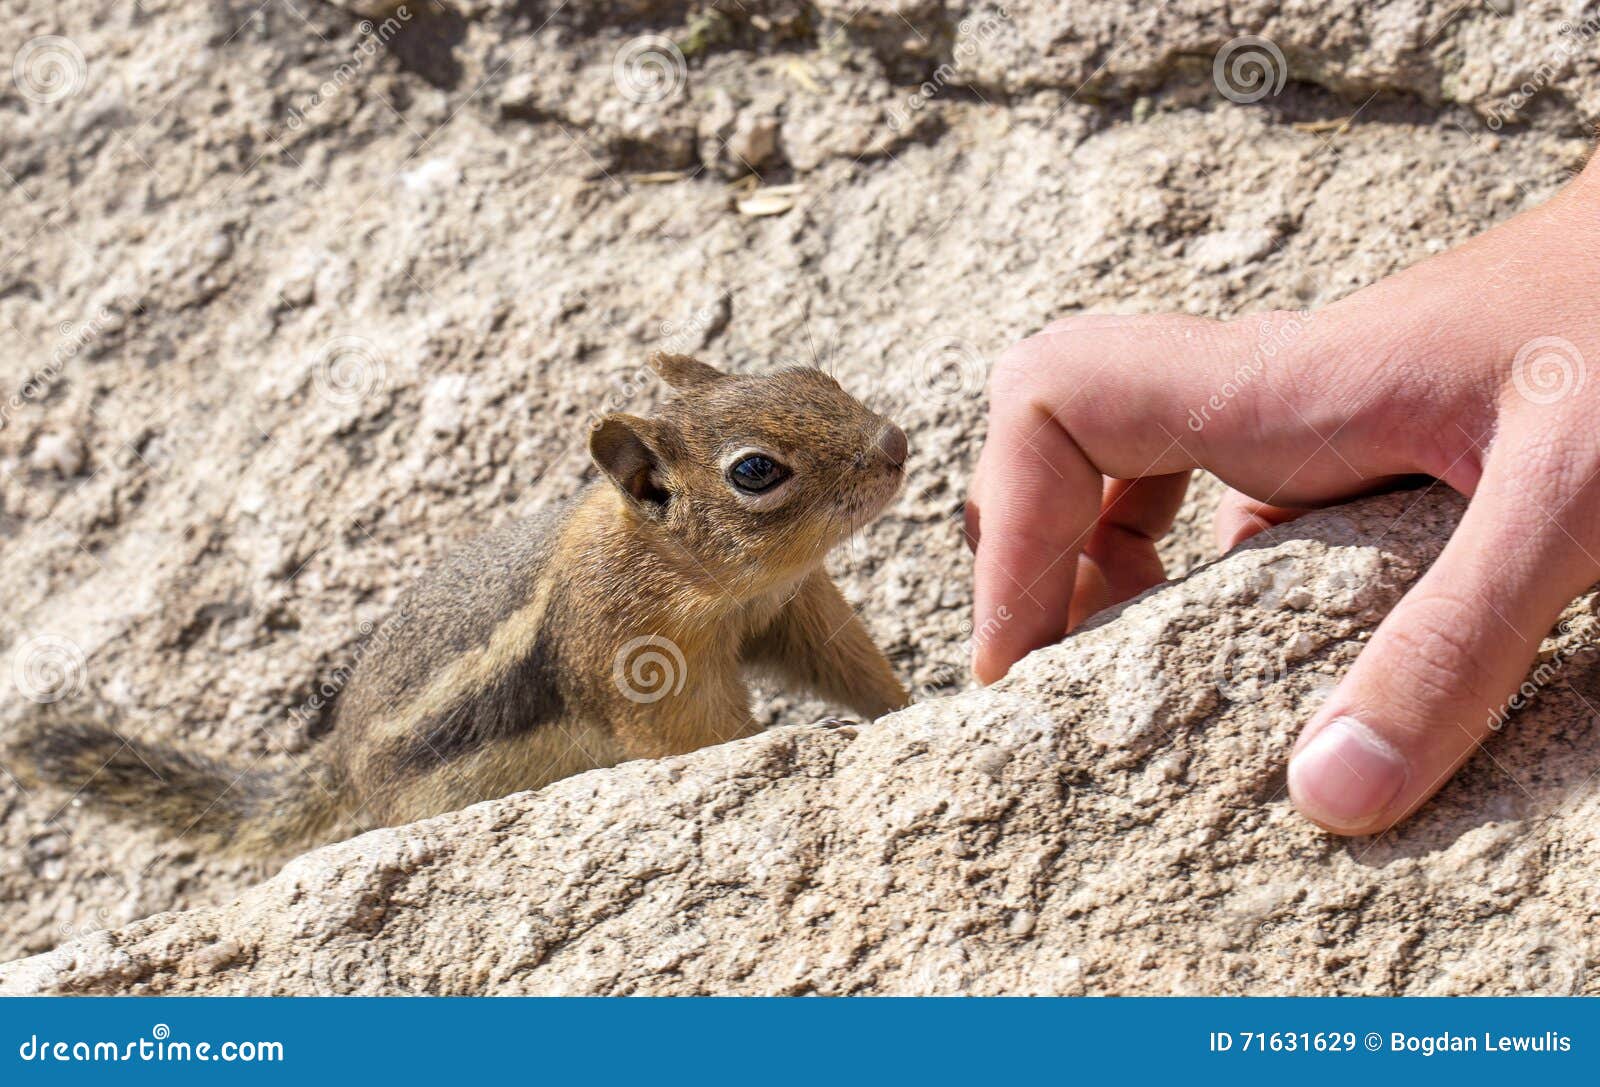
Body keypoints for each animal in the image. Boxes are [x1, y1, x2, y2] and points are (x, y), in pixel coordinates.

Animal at [16, 353, 910, 859]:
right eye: (756, 471)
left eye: (812, 377)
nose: (896, 443)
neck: (695, 576)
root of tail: (340, 760)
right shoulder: (643, 667)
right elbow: (697, 740)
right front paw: (793, 739)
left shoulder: (794, 607)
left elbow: (849, 662)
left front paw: (909, 703)